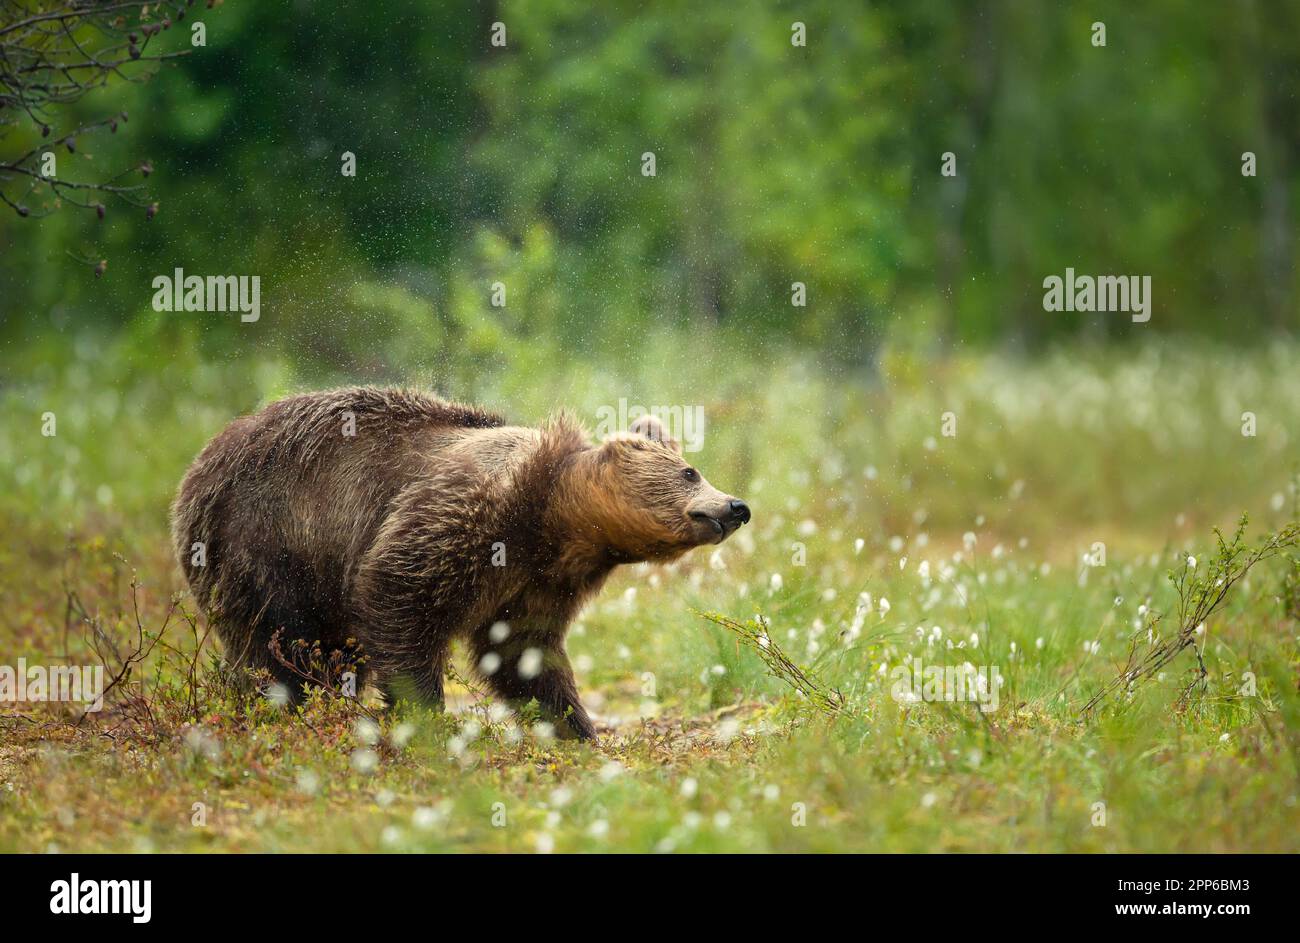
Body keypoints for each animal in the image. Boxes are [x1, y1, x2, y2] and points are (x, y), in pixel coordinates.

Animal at [170, 387, 750, 740]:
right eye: (691, 472)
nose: (736, 507)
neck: (551, 519)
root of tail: (198, 468)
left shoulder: (535, 584)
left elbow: (524, 655)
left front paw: (575, 726)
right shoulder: (461, 516)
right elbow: (397, 598)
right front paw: (425, 716)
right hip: (267, 543)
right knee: (277, 645)